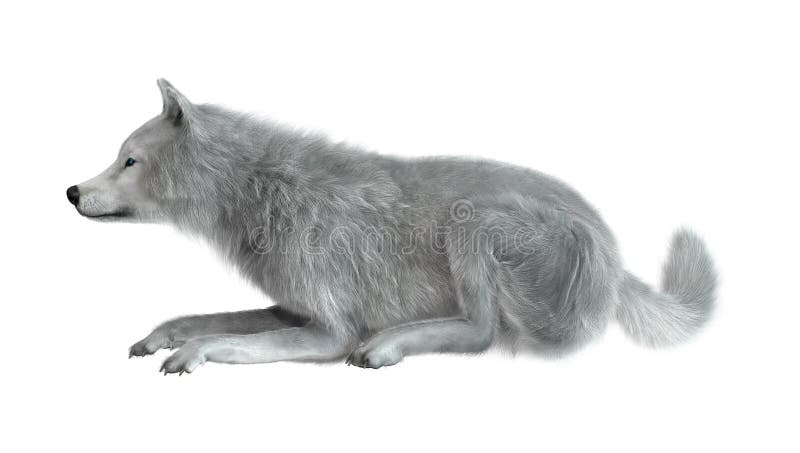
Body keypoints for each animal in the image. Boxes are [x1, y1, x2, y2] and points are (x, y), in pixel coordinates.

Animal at [66, 80, 717, 374]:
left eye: (129, 161)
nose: (71, 191)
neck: (262, 191)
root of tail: (611, 251)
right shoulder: (290, 309)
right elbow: (207, 317)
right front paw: (166, 335)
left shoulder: (330, 332)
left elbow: (231, 340)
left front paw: (194, 352)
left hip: (472, 223)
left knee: (483, 333)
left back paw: (390, 345)